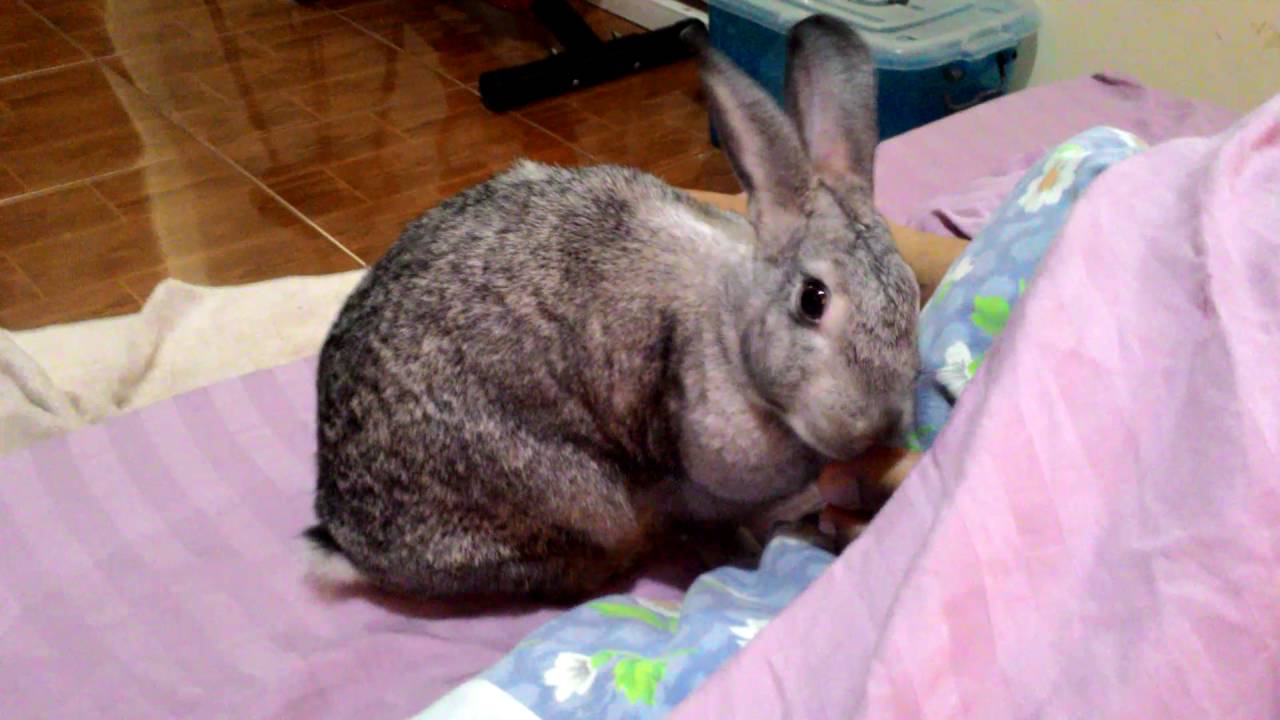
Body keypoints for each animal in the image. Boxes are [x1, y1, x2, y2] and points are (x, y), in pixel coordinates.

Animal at [306, 15, 919, 602]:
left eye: (912, 293)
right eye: (813, 300)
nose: (876, 426)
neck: (730, 332)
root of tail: (346, 537)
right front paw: (746, 548)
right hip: (575, 497)